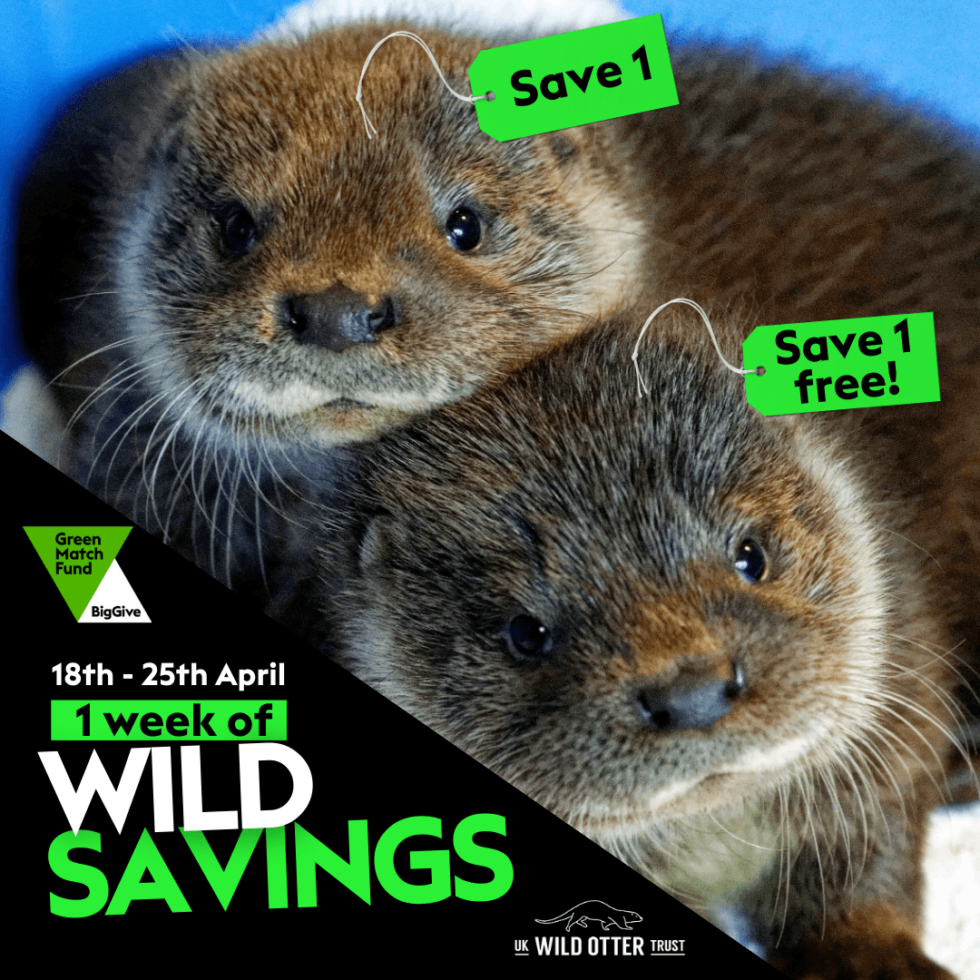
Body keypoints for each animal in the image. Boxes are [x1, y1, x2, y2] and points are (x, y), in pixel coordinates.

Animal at [315, 305, 977, 979]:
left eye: (750, 555)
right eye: (527, 633)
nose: (693, 695)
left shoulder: (903, 678)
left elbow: (871, 842)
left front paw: (877, 958)